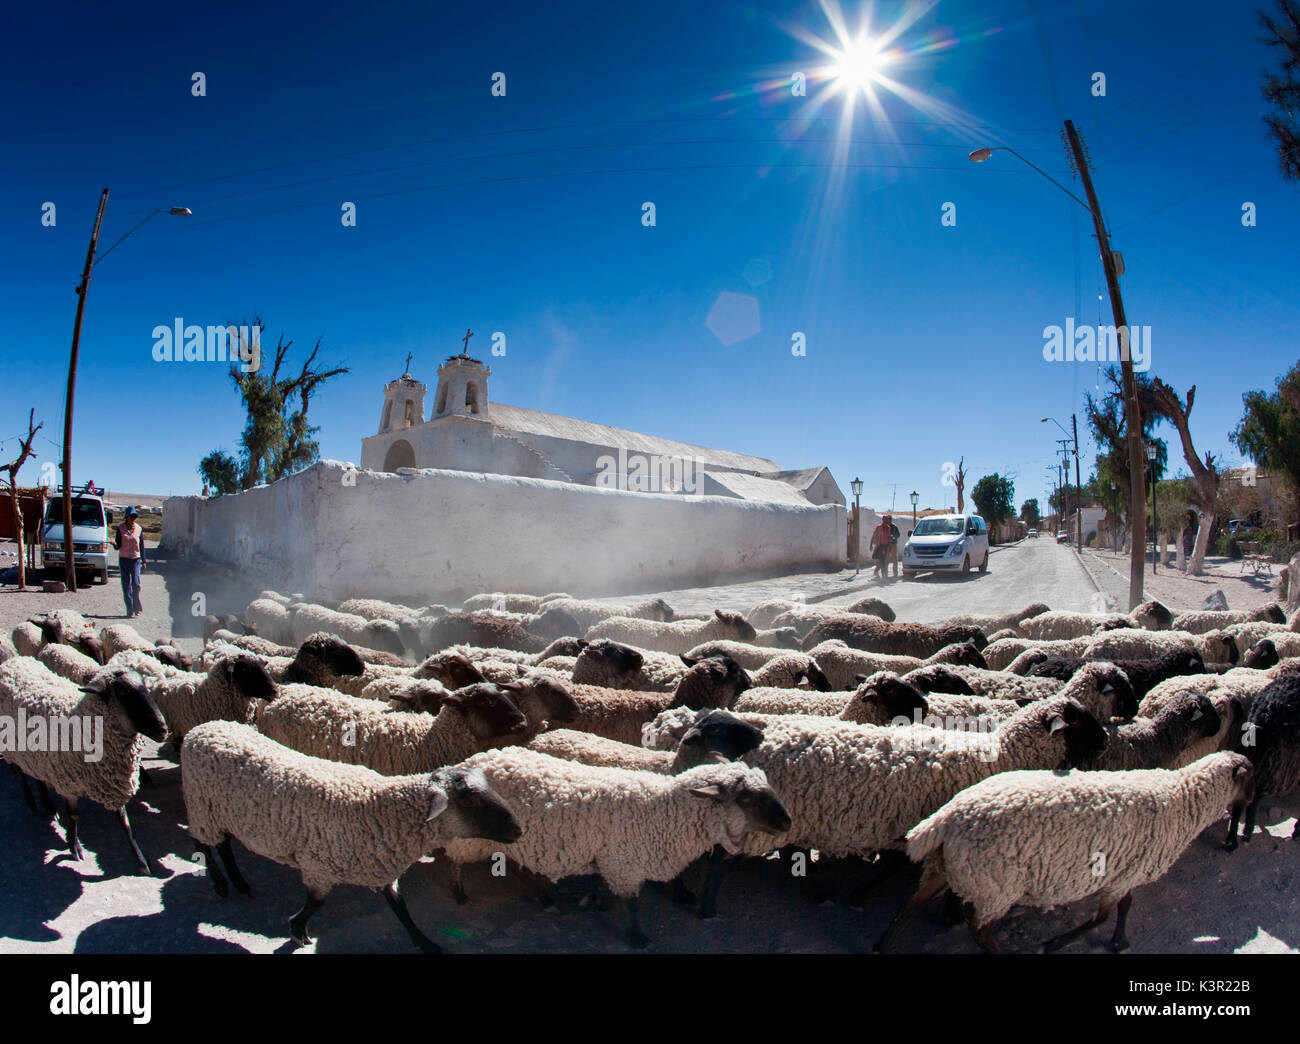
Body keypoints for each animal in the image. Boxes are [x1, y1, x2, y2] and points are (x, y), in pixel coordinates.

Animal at [0, 658, 167, 872]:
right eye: (122, 692)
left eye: (144, 685)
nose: (163, 729)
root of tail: (13, 661)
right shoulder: (68, 782)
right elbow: (73, 815)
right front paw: (74, 846)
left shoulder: (110, 782)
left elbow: (125, 823)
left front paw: (140, 860)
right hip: (11, 748)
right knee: (20, 773)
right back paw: (31, 801)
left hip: (37, 758)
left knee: (39, 778)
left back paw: (49, 807)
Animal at [181, 720, 520, 950]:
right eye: (469, 799)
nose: (518, 830)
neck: (380, 808)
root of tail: (204, 727)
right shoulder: (319, 866)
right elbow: (316, 904)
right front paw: (297, 930)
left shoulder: (379, 866)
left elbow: (401, 908)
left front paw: (424, 942)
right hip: (200, 806)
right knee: (203, 843)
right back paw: (221, 884)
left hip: (220, 811)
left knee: (224, 844)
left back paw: (239, 882)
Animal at [439, 747, 790, 947]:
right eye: (746, 799)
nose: (788, 823)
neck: (662, 810)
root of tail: (476, 759)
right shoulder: (624, 863)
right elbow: (632, 904)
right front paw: (636, 937)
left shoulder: (613, 861)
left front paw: (599, 901)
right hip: (471, 836)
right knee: (454, 860)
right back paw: (460, 894)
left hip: (513, 835)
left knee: (515, 864)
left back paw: (546, 897)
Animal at [877, 752, 1255, 954]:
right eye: (1249, 777)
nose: (1252, 799)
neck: (1183, 797)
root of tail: (945, 819)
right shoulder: (1125, 875)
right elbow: (1104, 916)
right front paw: (1056, 943)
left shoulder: (1125, 872)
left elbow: (1123, 908)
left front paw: (1119, 940)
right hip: (996, 885)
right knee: (978, 927)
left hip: (947, 868)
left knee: (910, 905)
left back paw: (882, 945)